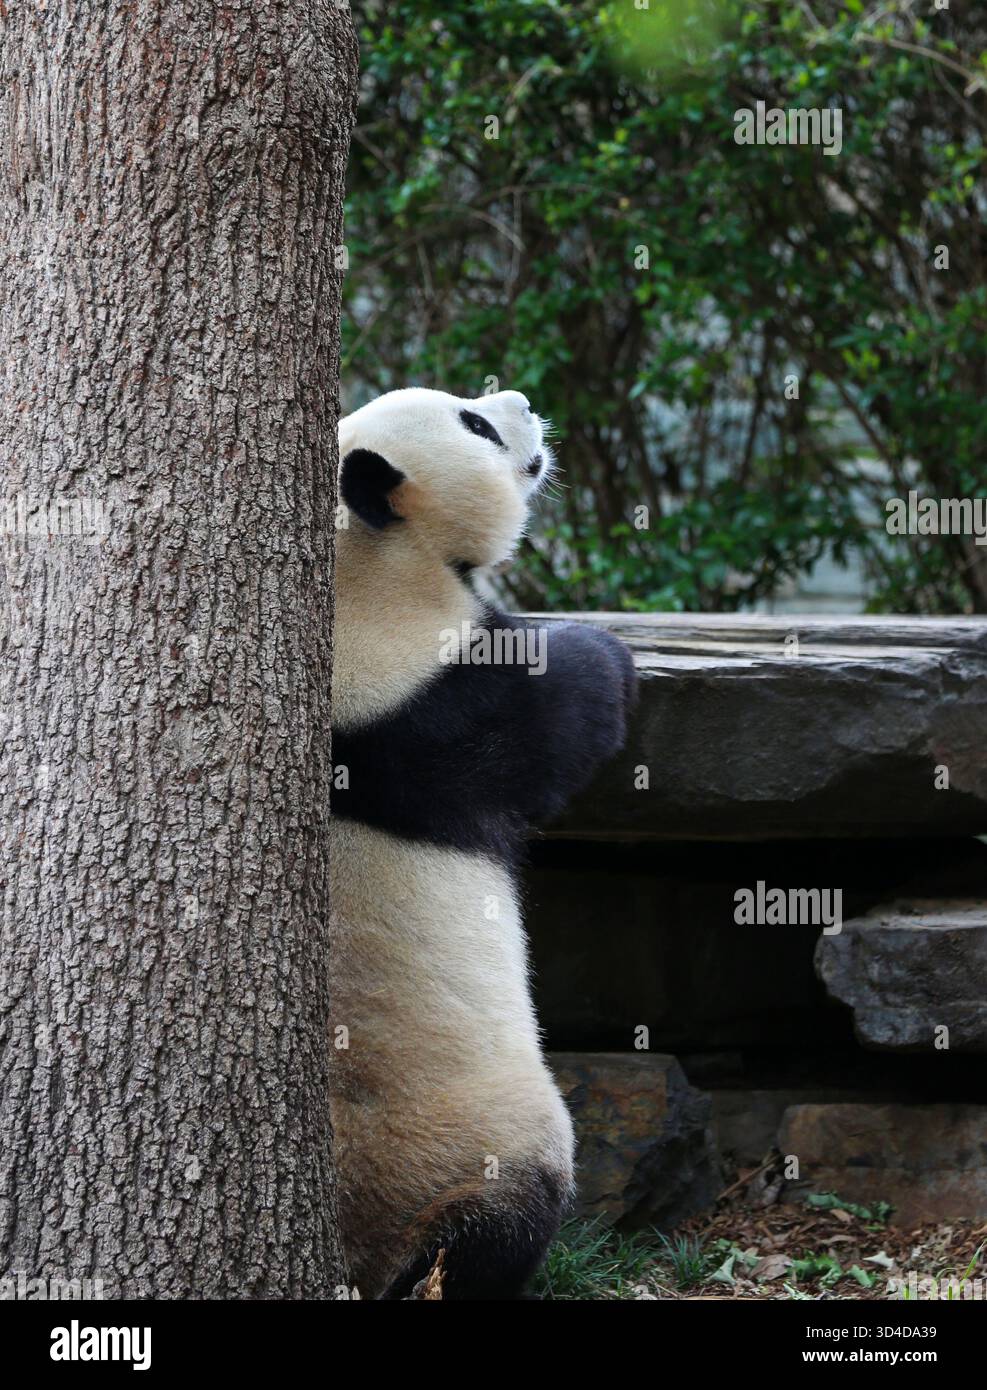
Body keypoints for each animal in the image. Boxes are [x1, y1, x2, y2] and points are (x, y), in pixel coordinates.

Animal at [329, 387, 637, 1300]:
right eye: (473, 423)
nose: (524, 402)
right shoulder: (434, 701)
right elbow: (561, 709)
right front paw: (602, 650)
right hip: (476, 1135)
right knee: (505, 1213)